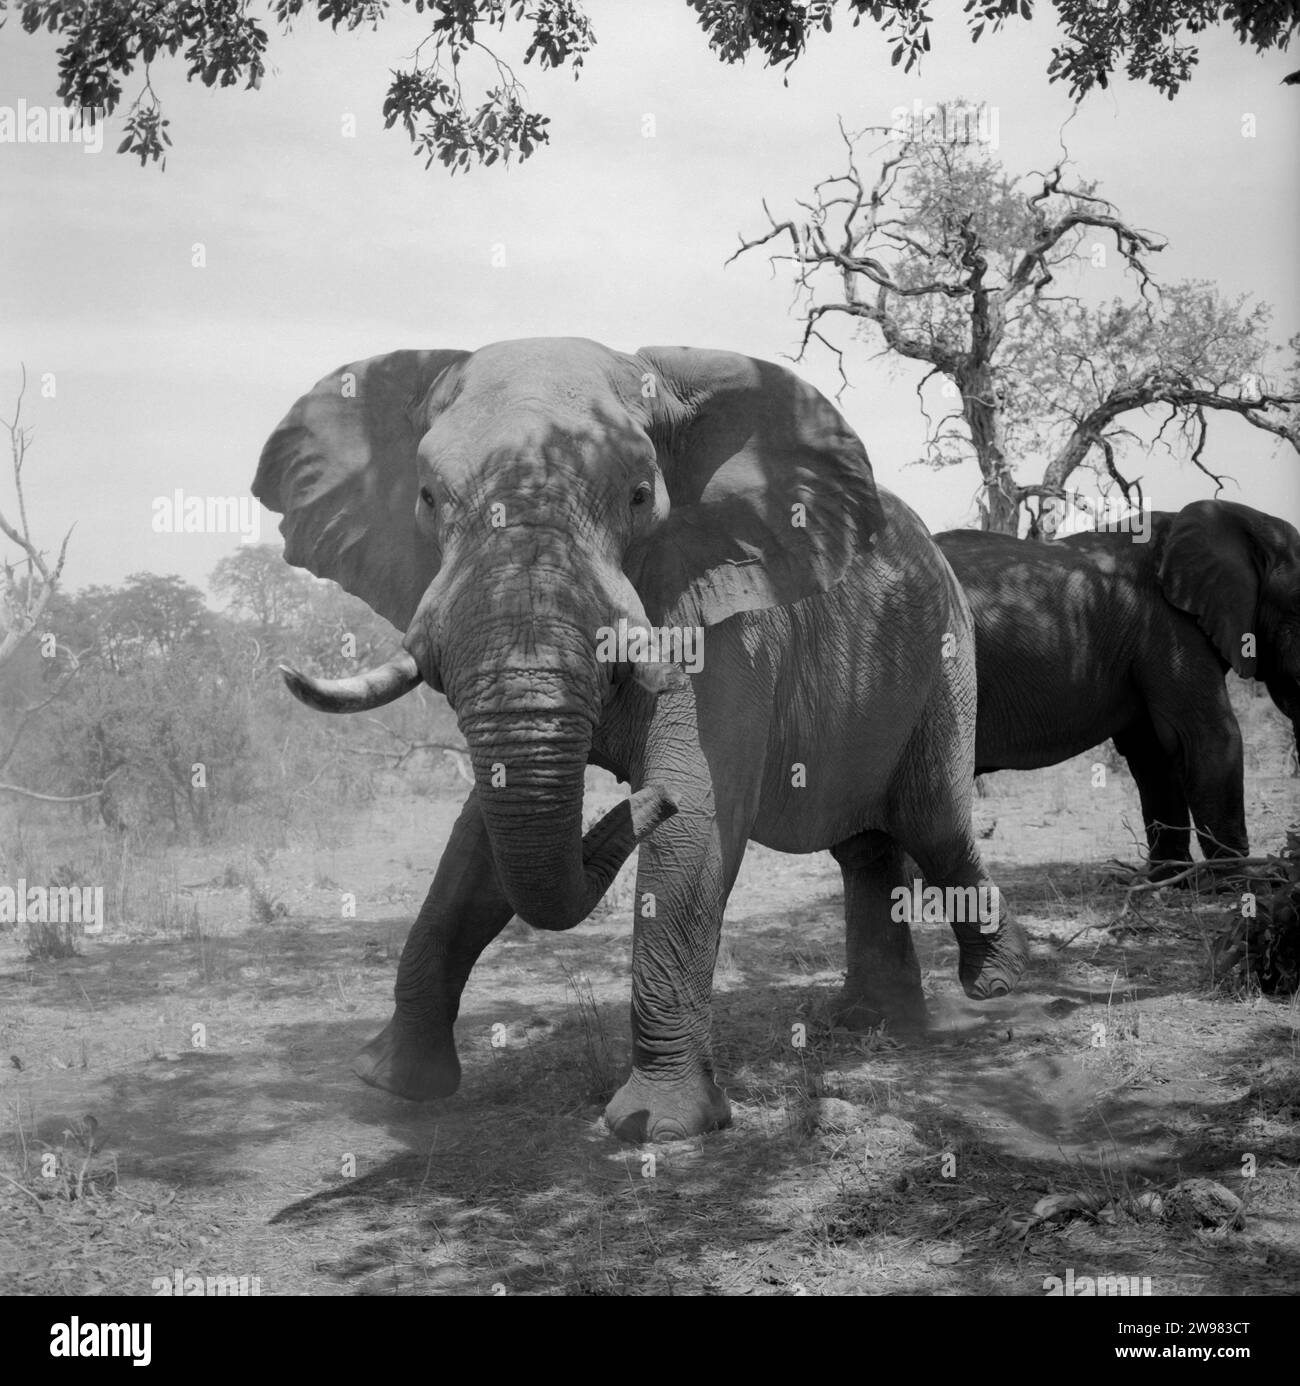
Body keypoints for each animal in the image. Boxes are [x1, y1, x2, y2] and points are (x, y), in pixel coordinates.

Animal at [253, 338, 1026, 1141]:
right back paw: (872, 1020)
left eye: (637, 497)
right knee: (868, 848)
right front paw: (392, 1082)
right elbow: (475, 846)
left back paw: (995, 988)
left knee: (934, 823)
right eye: (429, 499)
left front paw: (660, 1126)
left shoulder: (729, 622)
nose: (631, 797)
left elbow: (696, 824)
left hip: (947, 656)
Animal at [936, 500, 1300, 876]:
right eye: (1298, 606)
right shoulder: (1169, 629)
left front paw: (1171, 877)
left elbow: (1153, 751)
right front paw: (1236, 881)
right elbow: (1205, 737)